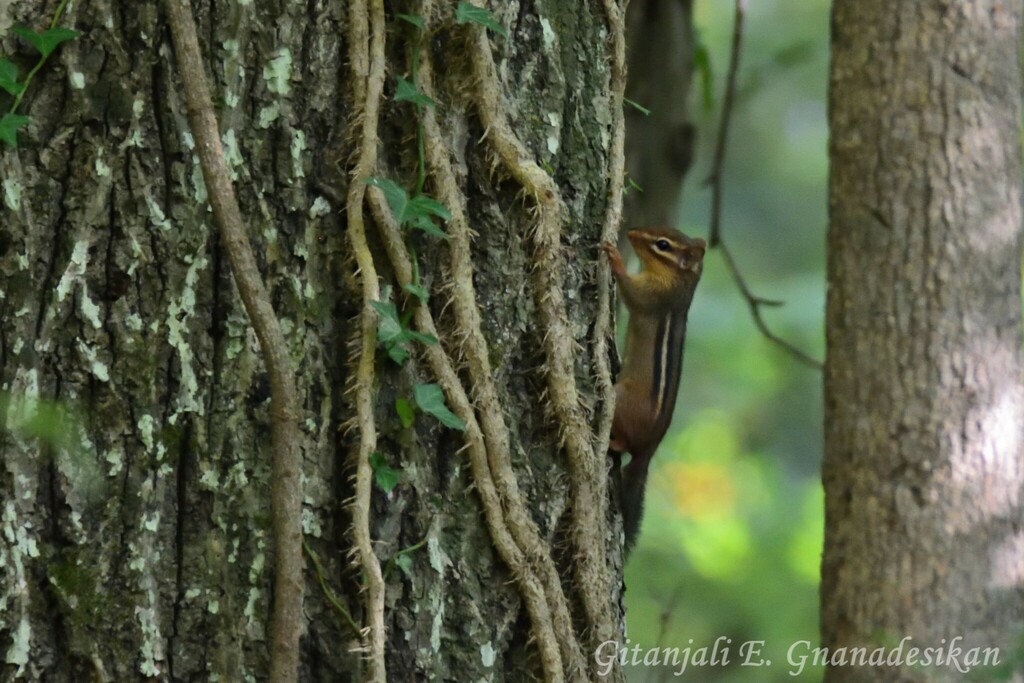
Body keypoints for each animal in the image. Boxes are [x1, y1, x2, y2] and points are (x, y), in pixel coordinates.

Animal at [601, 226, 705, 554]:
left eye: (662, 244)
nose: (631, 232)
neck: (681, 283)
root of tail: (650, 450)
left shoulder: (653, 296)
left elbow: (632, 293)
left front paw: (616, 259)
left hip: (621, 398)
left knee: (625, 444)